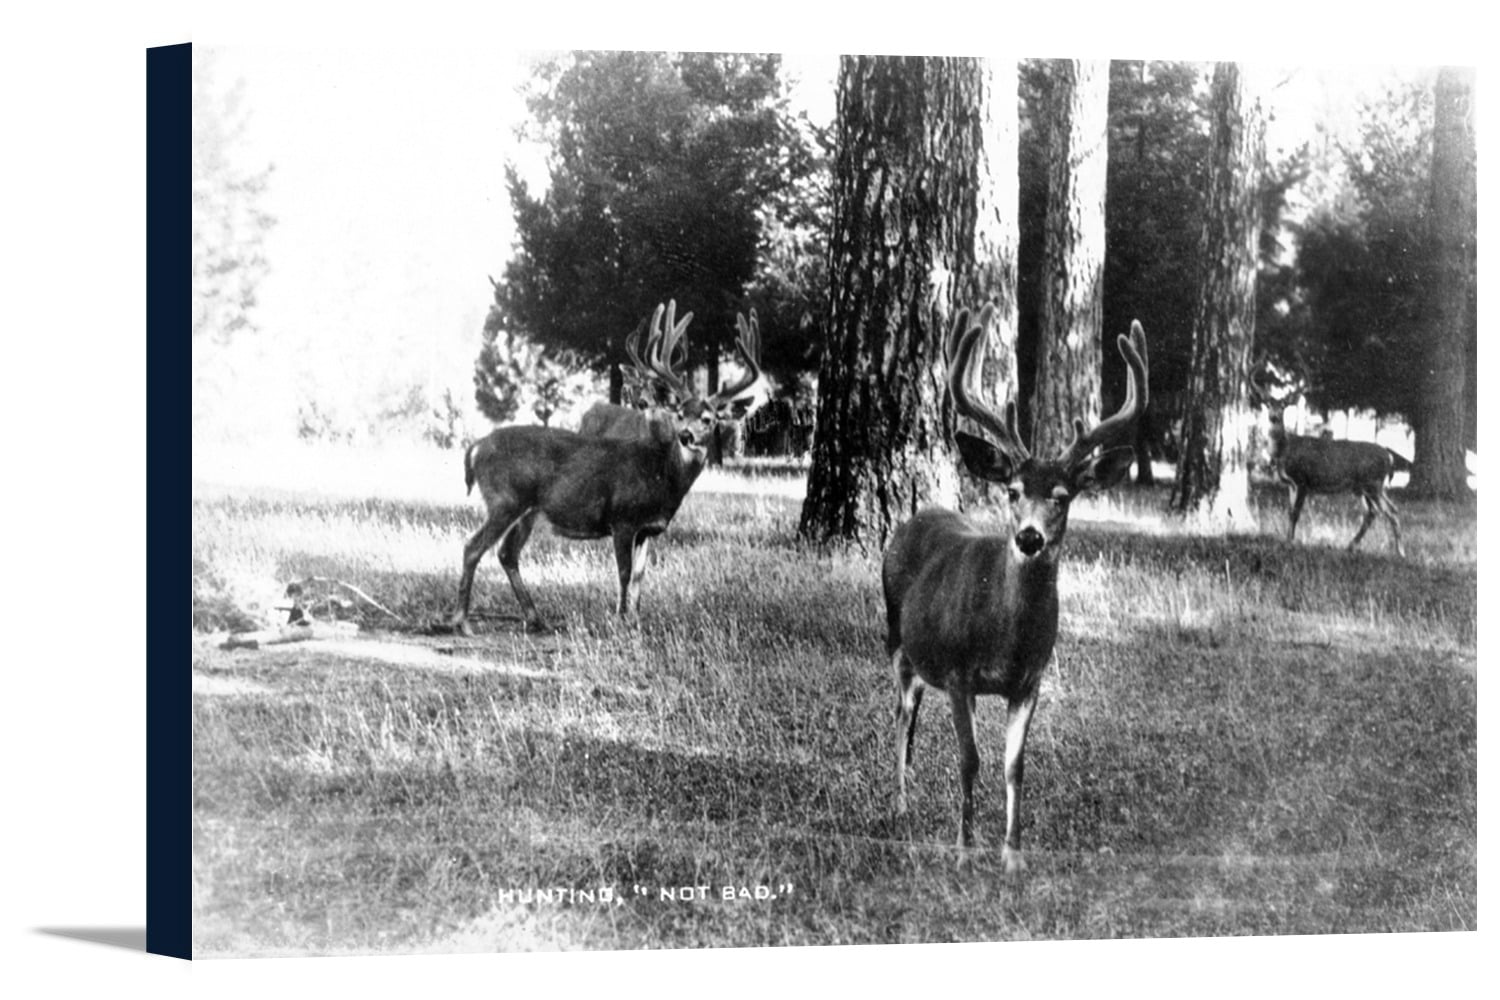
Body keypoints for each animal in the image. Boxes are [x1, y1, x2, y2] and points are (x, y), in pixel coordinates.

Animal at [451, 301, 761, 635]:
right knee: (472, 547)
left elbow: (639, 576)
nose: (686, 436)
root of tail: (478, 446)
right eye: (679, 413)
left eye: (708, 418)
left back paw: (535, 618)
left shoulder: (647, 530)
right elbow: (624, 572)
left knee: (507, 552)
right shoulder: (622, 519)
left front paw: (636, 621)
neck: (661, 475)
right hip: (505, 499)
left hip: (527, 510)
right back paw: (461, 621)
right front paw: (619, 620)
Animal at [883, 304, 1148, 874]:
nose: (1029, 538)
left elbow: (1014, 766)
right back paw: (900, 804)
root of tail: (916, 515)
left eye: (1062, 496)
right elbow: (969, 759)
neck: (1005, 636)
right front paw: (964, 851)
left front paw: (1013, 856)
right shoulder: (959, 672)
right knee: (901, 717)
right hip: (897, 640)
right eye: (1011, 491)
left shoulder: (1031, 681)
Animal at [1249, 359, 1409, 557]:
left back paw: (1400, 552)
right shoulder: (1290, 485)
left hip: (1374, 483)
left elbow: (1296, 513)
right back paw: (1351, 546)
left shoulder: (1303, 481)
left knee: (1390, 511)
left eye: (1284, 405)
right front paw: (1286, 540)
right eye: (1268, 404)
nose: (1274, 417)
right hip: (1364, 487)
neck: (1285, 450)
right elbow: (1289, 512)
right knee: (1372, 512)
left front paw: (1290, 543)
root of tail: (1390, 457)